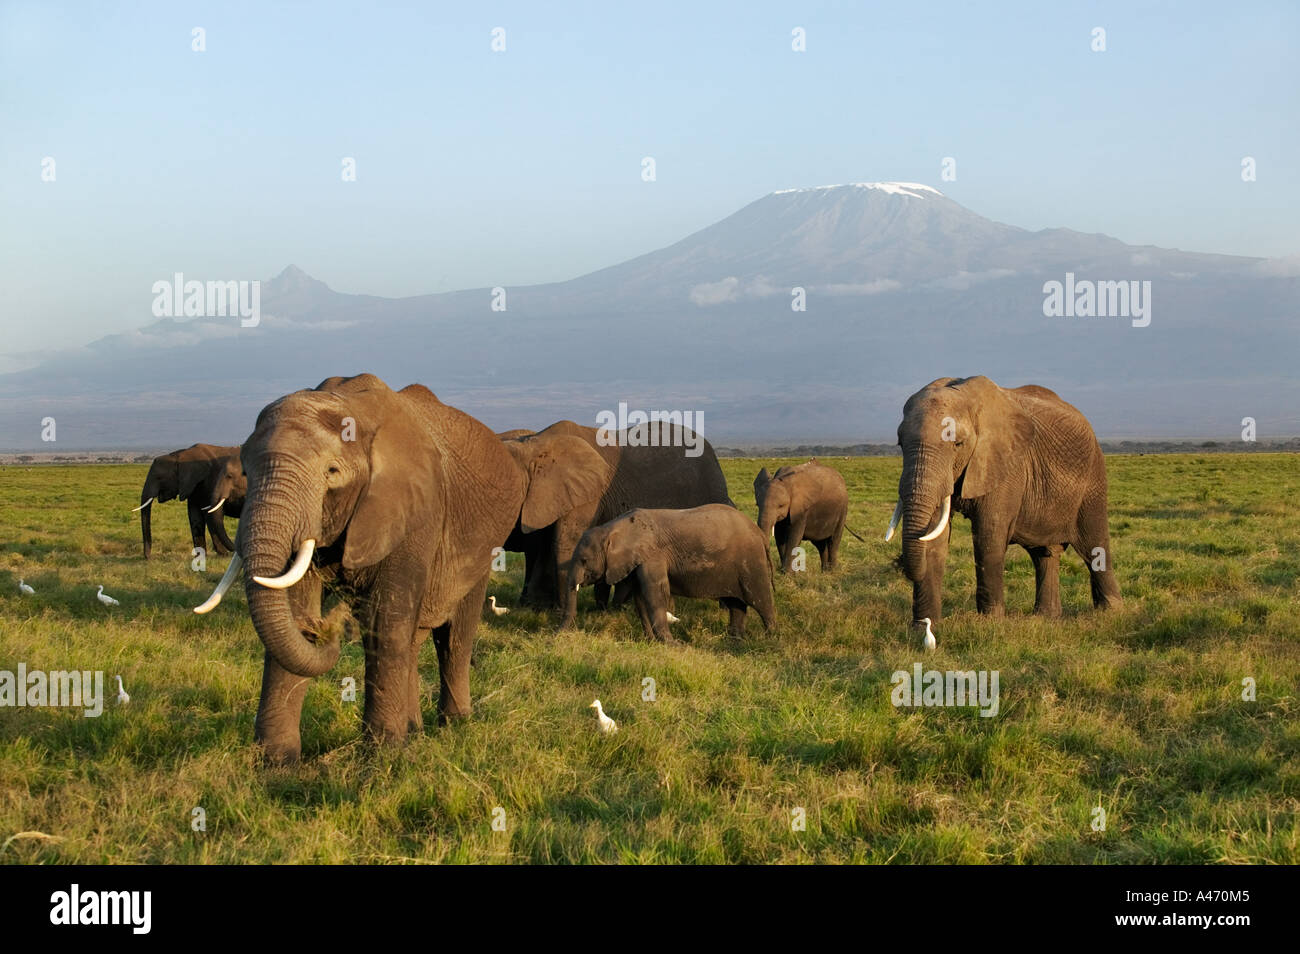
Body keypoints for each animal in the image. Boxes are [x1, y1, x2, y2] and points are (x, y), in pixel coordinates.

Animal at [193, 374, 525, 764]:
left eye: (332, 472)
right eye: (246, 472)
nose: (325, 627)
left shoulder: (414, 510)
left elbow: (385, 619)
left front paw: (382, 757)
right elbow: (293, 606)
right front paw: (277, 764)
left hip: (483, 541)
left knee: (455, 633)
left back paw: (453, 724)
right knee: (414, 639)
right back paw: (414, 731)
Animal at [500, 419, 733, 624]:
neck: (535, 442)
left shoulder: (587, 495)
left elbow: (564, 545)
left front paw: (556, 612)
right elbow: (547, 545)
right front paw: (540, 609)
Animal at [569, 505, 776, 641]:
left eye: (584, 561)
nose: (564, 632)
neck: (612, 528)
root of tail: (760, 534)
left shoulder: (653, 556)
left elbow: (656, 595)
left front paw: (672, 645)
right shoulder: (639, 562)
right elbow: (641, 598)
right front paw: (651, 642)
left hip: (751, 562)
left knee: (760, 600)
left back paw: (770, 638)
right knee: (736, 604)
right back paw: (734, 640)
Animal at [887, 375, 1121, 628]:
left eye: (957, 444)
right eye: (900, 444)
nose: (898, 563)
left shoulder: (1006, 465)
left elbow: (989, 534)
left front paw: (990, 623)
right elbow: (933, 537)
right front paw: (924, 629)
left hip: (1093, 479)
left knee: (1094, 546)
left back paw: (1111, 612)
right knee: (1044, 555)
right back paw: (1045, 617)